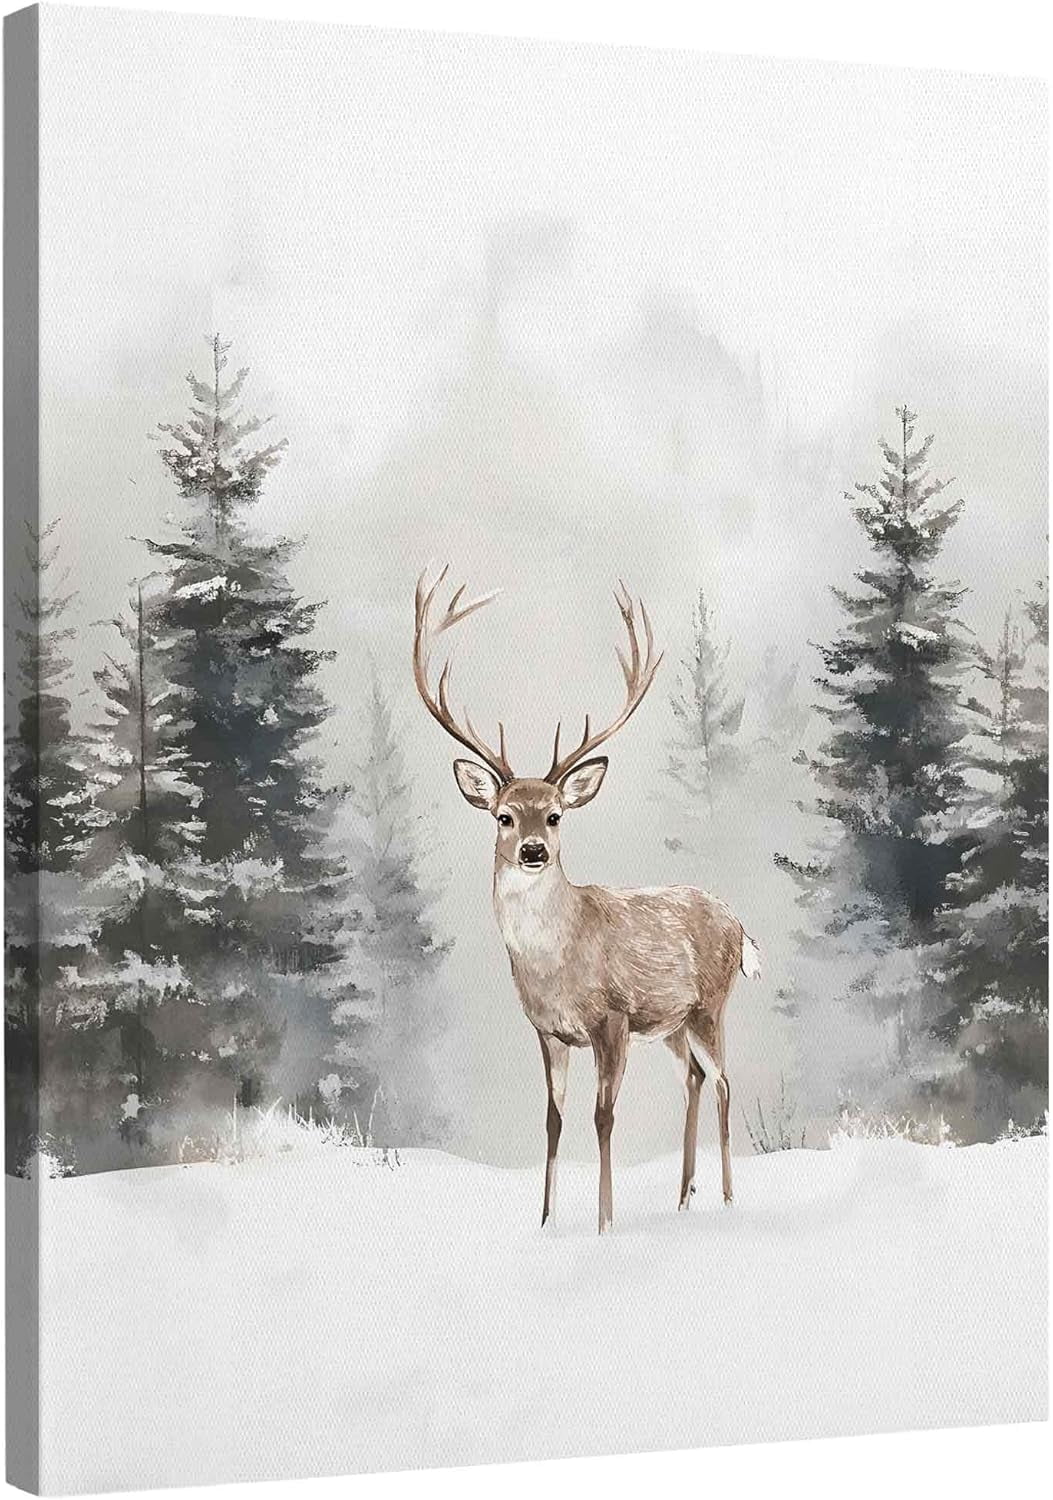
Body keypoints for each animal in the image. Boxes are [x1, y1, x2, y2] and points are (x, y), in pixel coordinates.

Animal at [413, 565, 761, 1234]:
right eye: (502, 816)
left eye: (554, 815)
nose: (531, 850)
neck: (557, 965)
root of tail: (738, 922)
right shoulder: (547, 1030)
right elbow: (552, 1119)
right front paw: (547, 1220)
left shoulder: (614, 1017)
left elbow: (603, 1118)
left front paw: (604, 1222)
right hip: (673, 1022)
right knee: (694, 1079)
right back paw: (684, 1196)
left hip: (710, 1003)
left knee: (726, 1082)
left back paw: (729, 1198)